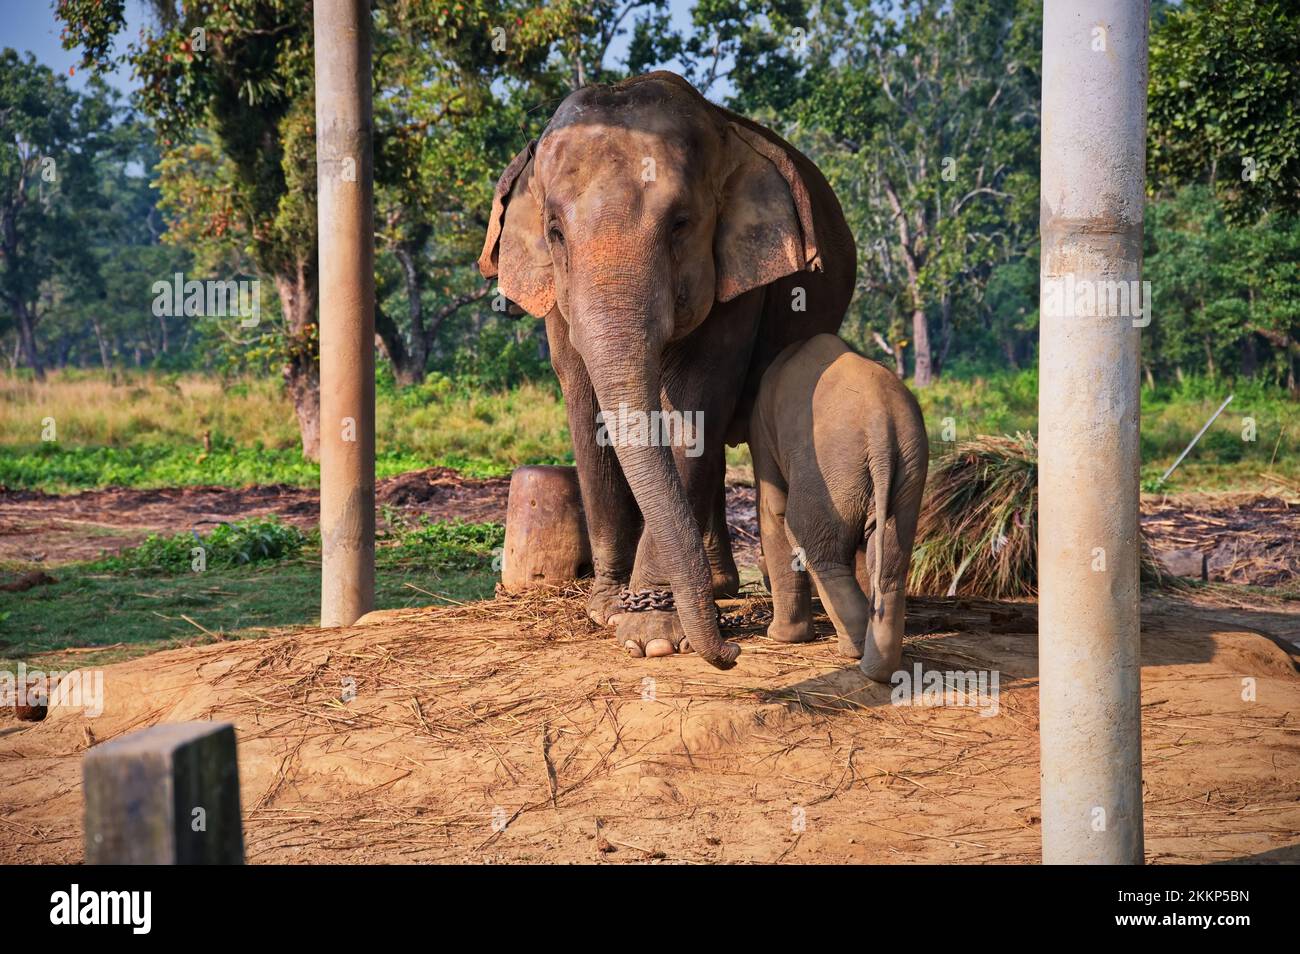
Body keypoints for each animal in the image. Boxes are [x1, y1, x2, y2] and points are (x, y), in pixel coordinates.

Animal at [478, 72, 855, 669]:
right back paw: (717, 588)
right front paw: (608, 610)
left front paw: (653, 633)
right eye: (555, 232)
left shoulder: (739, 283)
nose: (731, 650)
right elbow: (586, 406)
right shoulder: (557, 300)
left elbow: (695, 402)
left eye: (681, 224)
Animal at [749, 334, 929, 682]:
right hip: (905, 472)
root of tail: (881, 425)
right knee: (888, 558)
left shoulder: (762, 427)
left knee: (808, 539)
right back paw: (877, 668)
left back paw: (855, 651)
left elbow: (773, 509)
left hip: (836, 469)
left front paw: (779, 637)